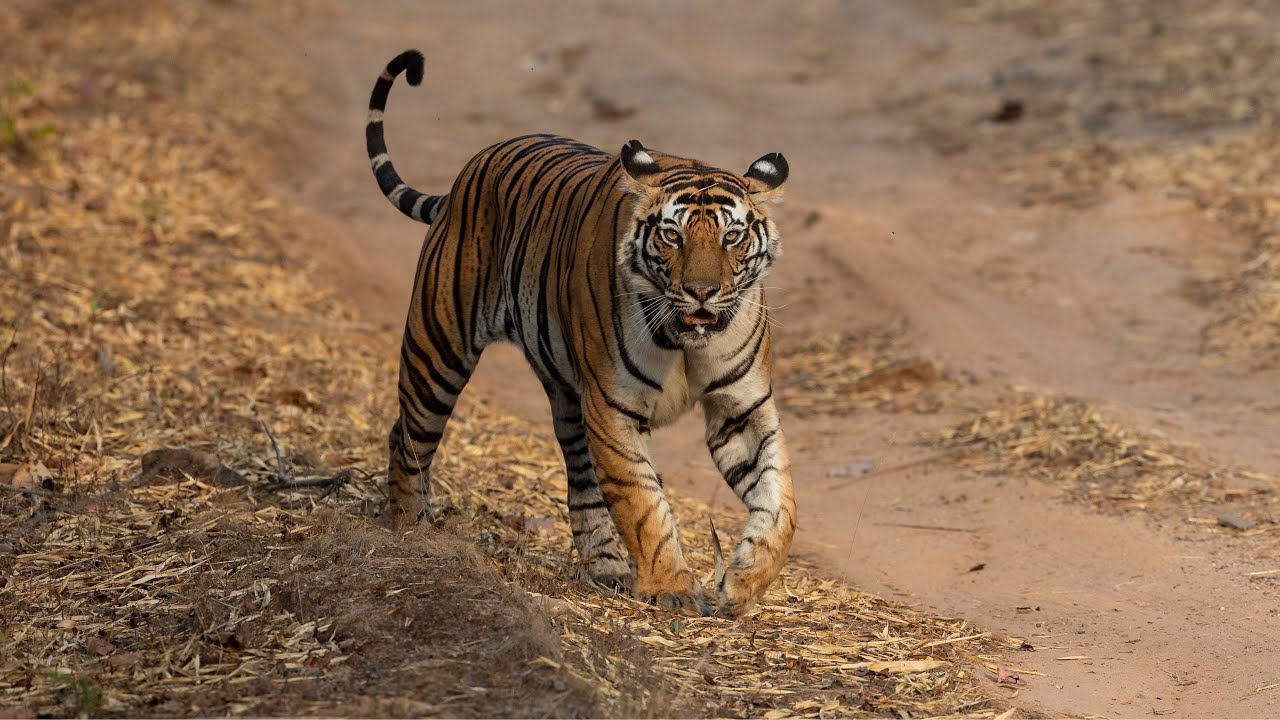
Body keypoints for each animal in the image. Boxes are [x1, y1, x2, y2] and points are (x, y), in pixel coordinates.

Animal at [367, 49, 795, 618]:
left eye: (732, 237)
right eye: (672, 235)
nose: (702, 292)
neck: (687, 344)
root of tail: (470, 169)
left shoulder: (742, 409)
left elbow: (780, 502)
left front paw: (745, 580)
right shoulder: (613, 408)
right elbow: (643, 502)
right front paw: (673, 587)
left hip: (567, 395)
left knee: (581, 478)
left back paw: (607, 568)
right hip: (438, 346)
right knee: (407, 435)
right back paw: (411, 531)